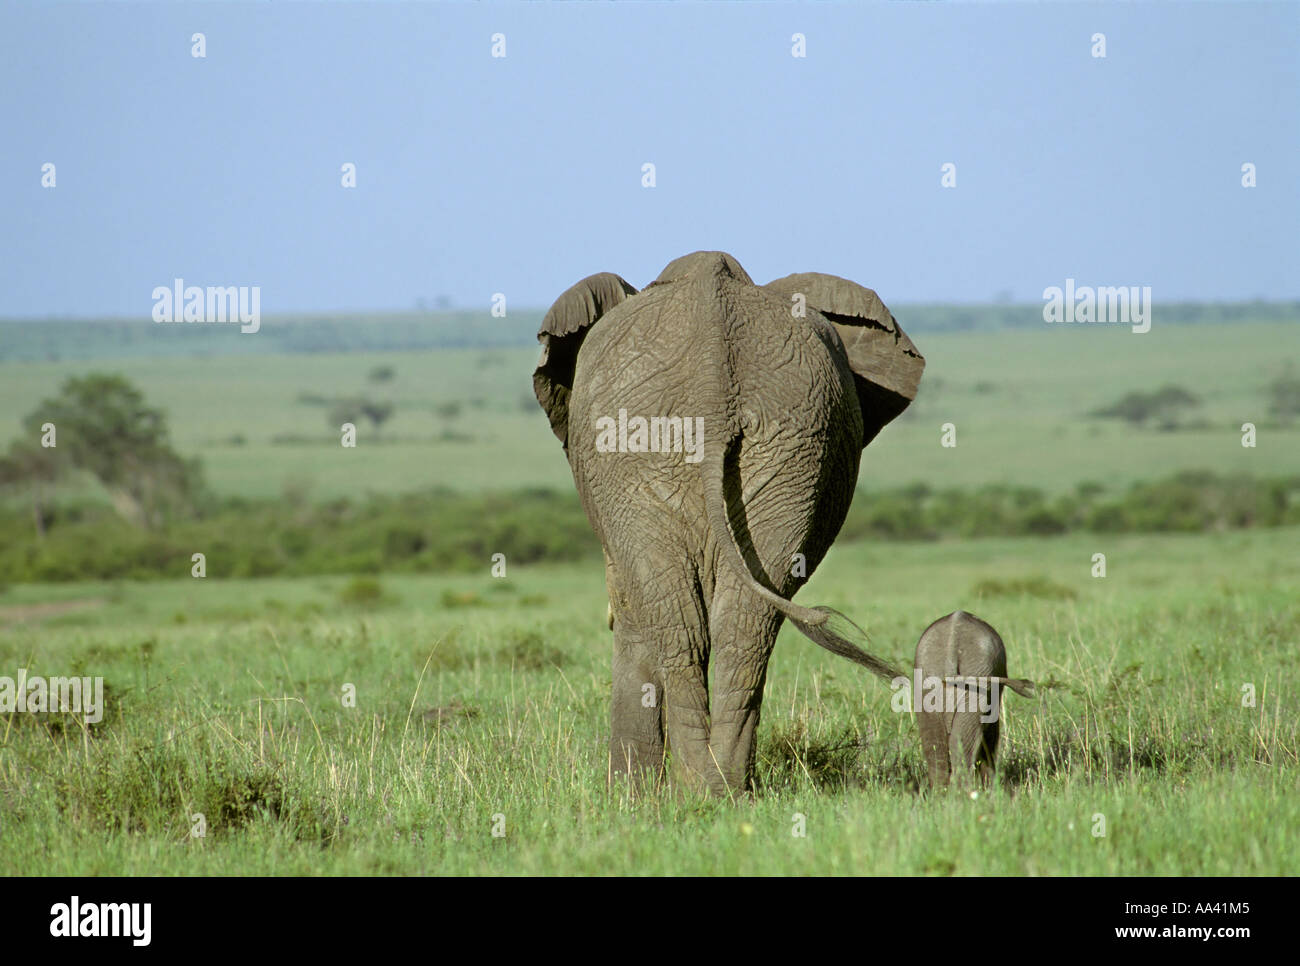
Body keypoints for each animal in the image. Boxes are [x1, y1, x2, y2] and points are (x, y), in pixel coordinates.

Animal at [533, 250, 925, 796]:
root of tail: (712, 370)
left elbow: (630, 608)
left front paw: (627, 799)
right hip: (784, 442)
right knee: (737, 623)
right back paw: (721, 788)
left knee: (682, 619)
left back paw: (699, 788)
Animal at [913, 611, 1035, 790]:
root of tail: (953, 645)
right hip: (978, 682)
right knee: (962, 743)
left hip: (928, 680)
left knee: (935, 744)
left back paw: (942, 793)